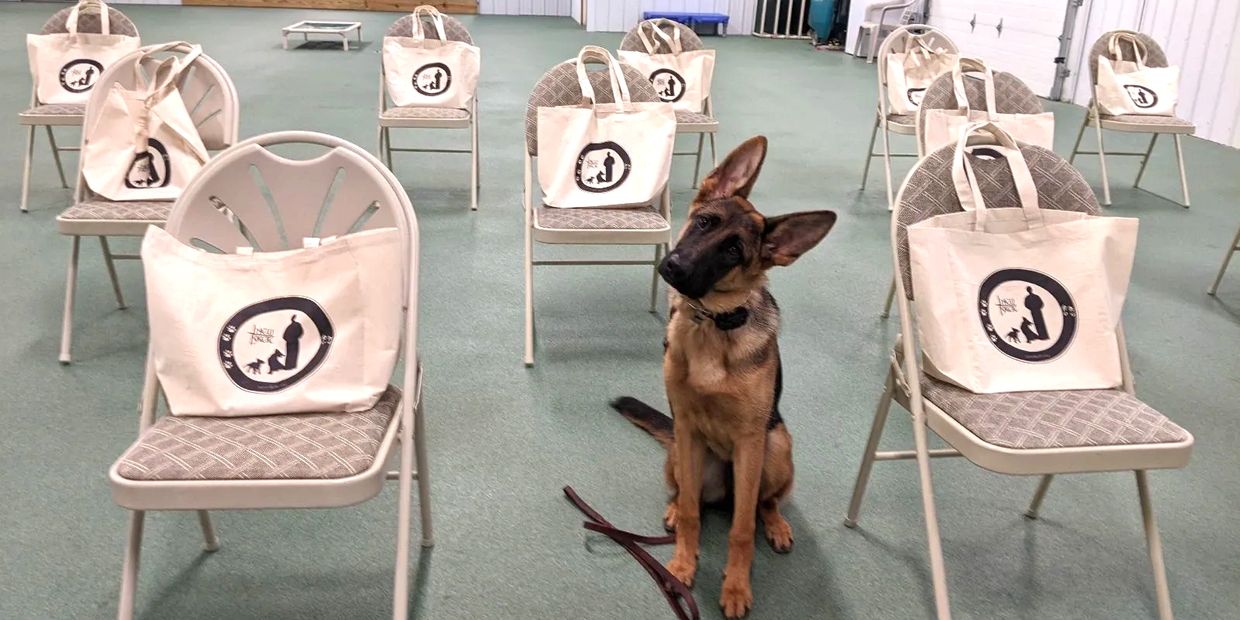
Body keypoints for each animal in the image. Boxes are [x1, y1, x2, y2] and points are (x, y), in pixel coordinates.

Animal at [612, 135, 838, 615]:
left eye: (733, 250)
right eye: (703, 223)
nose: (674, 267)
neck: (711, 324)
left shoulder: (752, 441)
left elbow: (740, 530)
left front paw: (735, 587)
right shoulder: (686, 426)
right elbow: (693, 513)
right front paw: (682, 564)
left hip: (776, 446)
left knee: (762, 504)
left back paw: (775, 524)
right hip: (681, 455)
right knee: (688, 495)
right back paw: (676, 512)